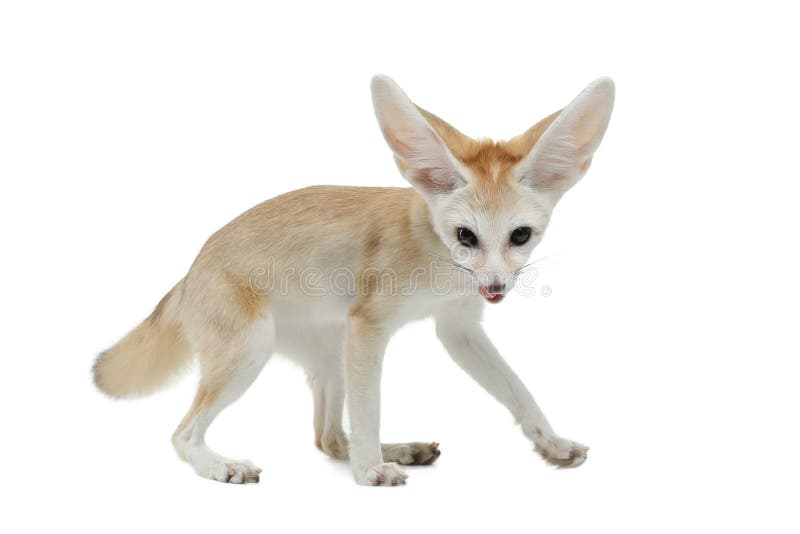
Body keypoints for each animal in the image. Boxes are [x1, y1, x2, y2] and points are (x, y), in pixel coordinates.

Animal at [93, 75, 615, 486]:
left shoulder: (459, 329)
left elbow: (518, 390)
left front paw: (550, 441)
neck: (437, 258)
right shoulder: (369, 326)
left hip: (330, 354)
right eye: (465, 235)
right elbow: (369, 410)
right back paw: (221, 465)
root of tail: (190, 270)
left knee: (327, 439)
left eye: (520, 235)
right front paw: (368, 473)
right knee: (182, 434)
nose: (496, 288)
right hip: (253, 351)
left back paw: (397, 448)